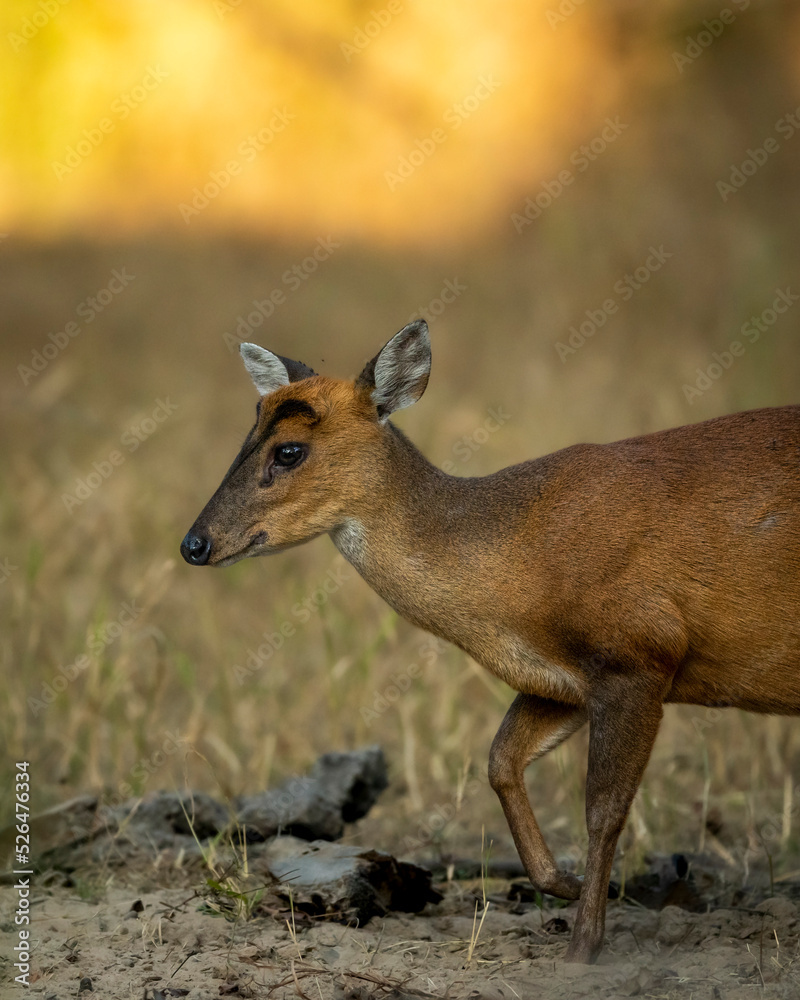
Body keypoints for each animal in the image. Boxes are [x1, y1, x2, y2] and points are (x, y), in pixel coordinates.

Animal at [181, 319, 800, 963]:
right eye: (247, 434)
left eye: (289, 450)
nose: (194, 544)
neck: (516, 563)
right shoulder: (563, 682)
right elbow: (501, 760)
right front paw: (568, 885)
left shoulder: (642, 652)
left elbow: (603, 810)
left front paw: (584, 948)